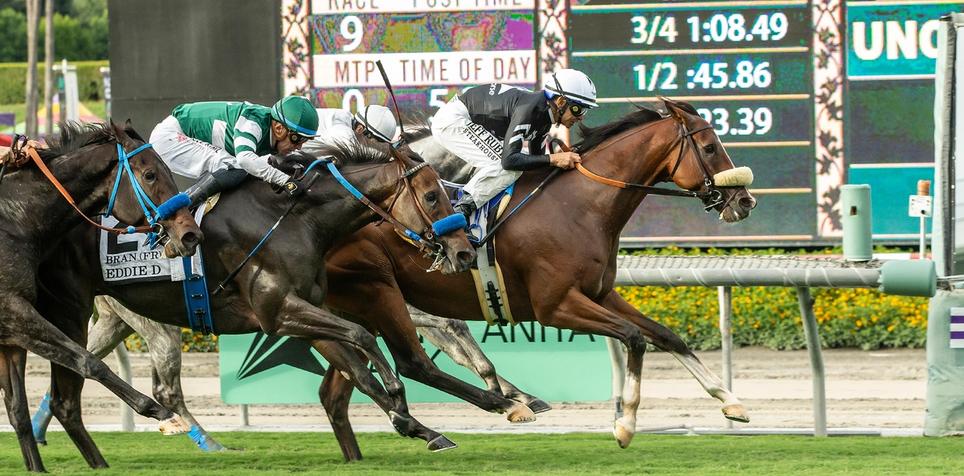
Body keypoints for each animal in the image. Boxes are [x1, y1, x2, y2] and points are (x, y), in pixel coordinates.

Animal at [0, 121, 202, 472]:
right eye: (150, 174)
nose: (190, 234)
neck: (13, 219)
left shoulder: (10, 336)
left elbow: (17, 410)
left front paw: (37, 469)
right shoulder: (13, 312)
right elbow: (89, 362)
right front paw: (163, 413)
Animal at [320, 98, 758, 450]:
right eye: (709, 147)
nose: (744, 200)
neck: (580, 205)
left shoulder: (599, 294)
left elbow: (667, 335)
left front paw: (731, 401)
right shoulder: (555, 306)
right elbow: (634, 338)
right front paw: (625, 425)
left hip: (359, 304)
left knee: (341, 383)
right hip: (379, 292)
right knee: (406, 361)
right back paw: (493, 408)